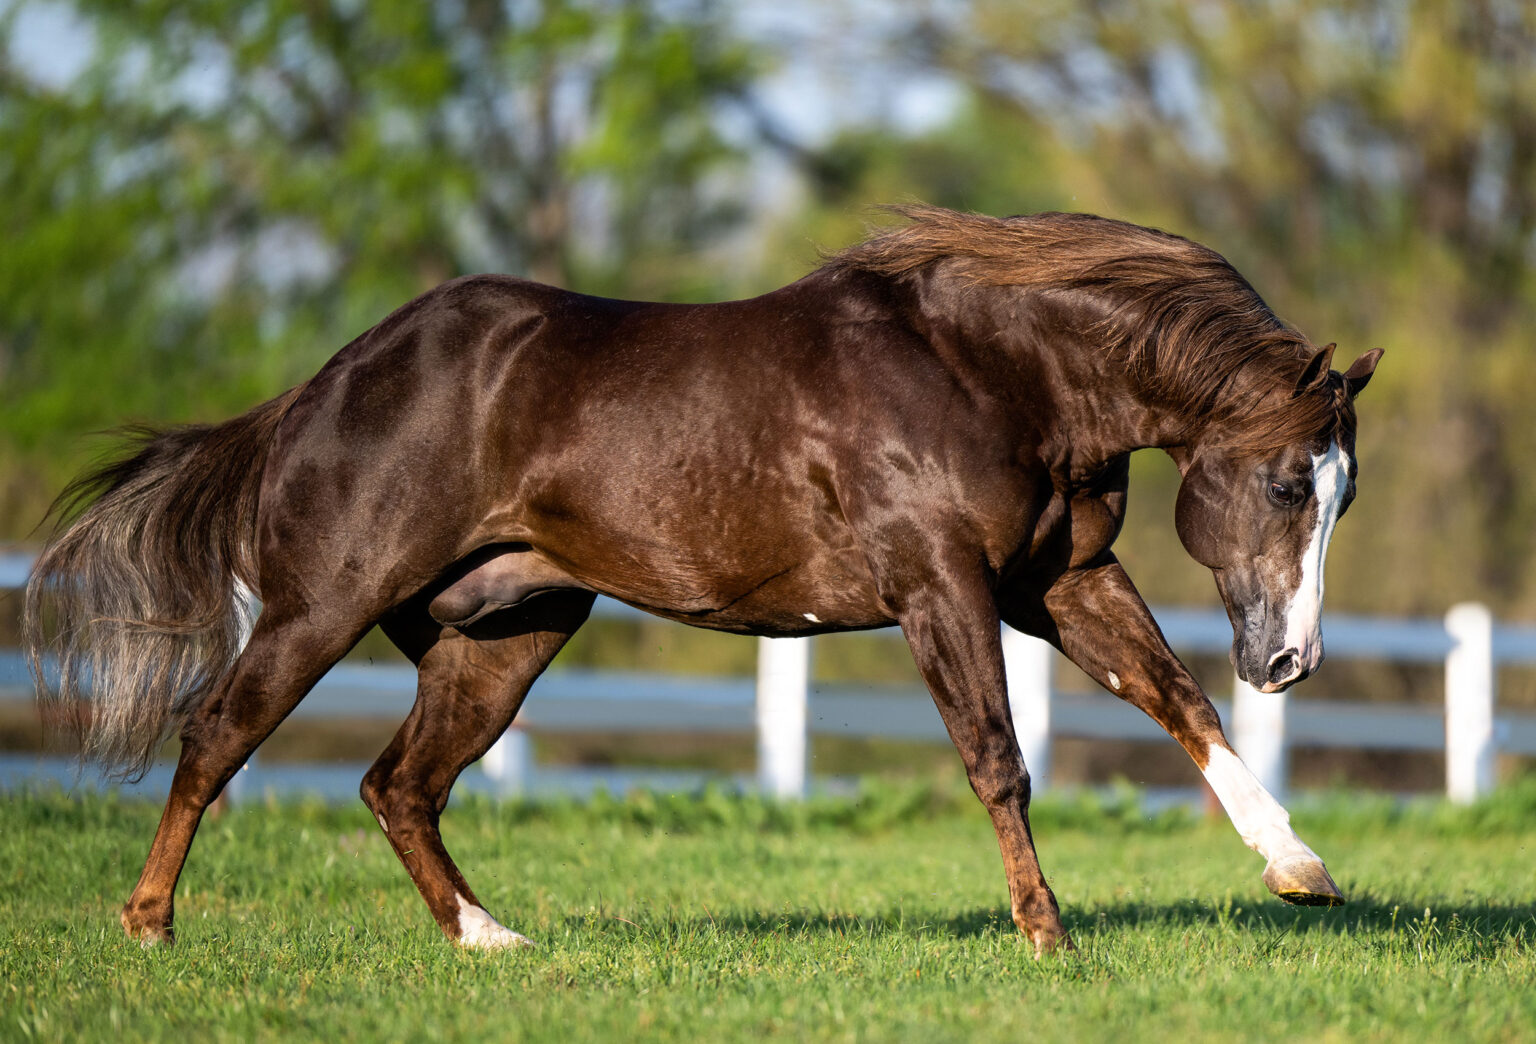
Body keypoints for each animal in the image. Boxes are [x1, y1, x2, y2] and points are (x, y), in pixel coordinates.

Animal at [25, 205, 1382, 956]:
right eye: (1285, 486)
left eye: (1343, 494)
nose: (1291, 660)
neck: (986, 366)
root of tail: (322, 386)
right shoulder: (941, 587)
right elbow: (999, 759)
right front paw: (1046, 933)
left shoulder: (1058, 580)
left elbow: (1181, 705)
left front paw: (1302, 871)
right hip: (323, 608)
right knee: (218, 737)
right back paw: (147, 925)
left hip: (508, 633)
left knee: (398, 785)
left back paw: (490, 938)